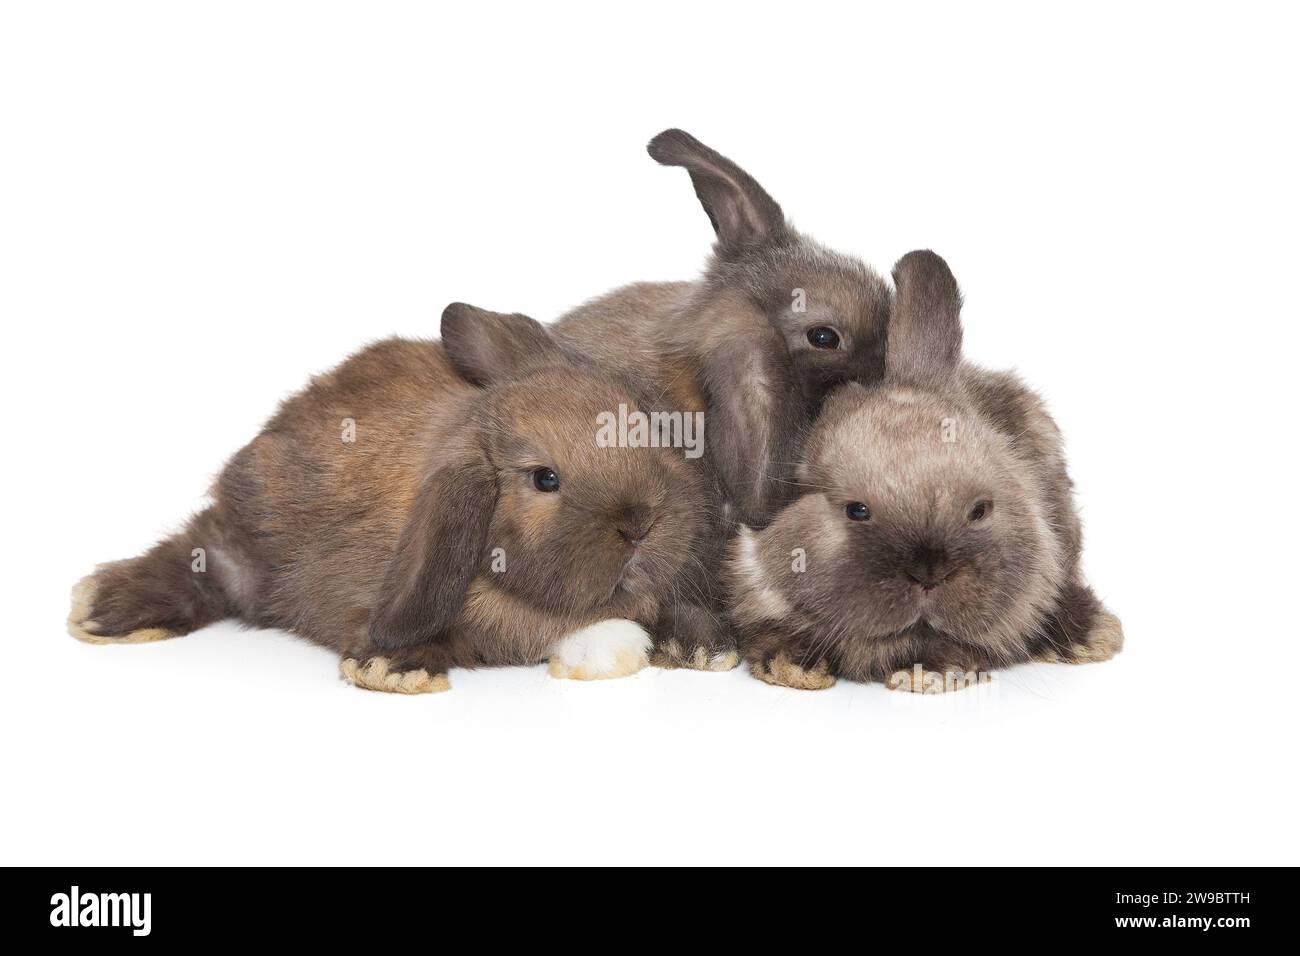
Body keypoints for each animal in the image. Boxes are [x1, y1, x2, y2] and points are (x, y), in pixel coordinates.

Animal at [67, 304, 709, 693]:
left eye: (641, 424)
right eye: (544, 479)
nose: (641, 523)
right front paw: (393, 667)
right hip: (243, 547)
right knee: (196, 558)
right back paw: (101, 606)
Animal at [724, 250, 1124, 692]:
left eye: (979, 510)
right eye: (857, 510)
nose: (929, 573)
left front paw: (932, 674)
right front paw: (791, 667)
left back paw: (1090, 635)